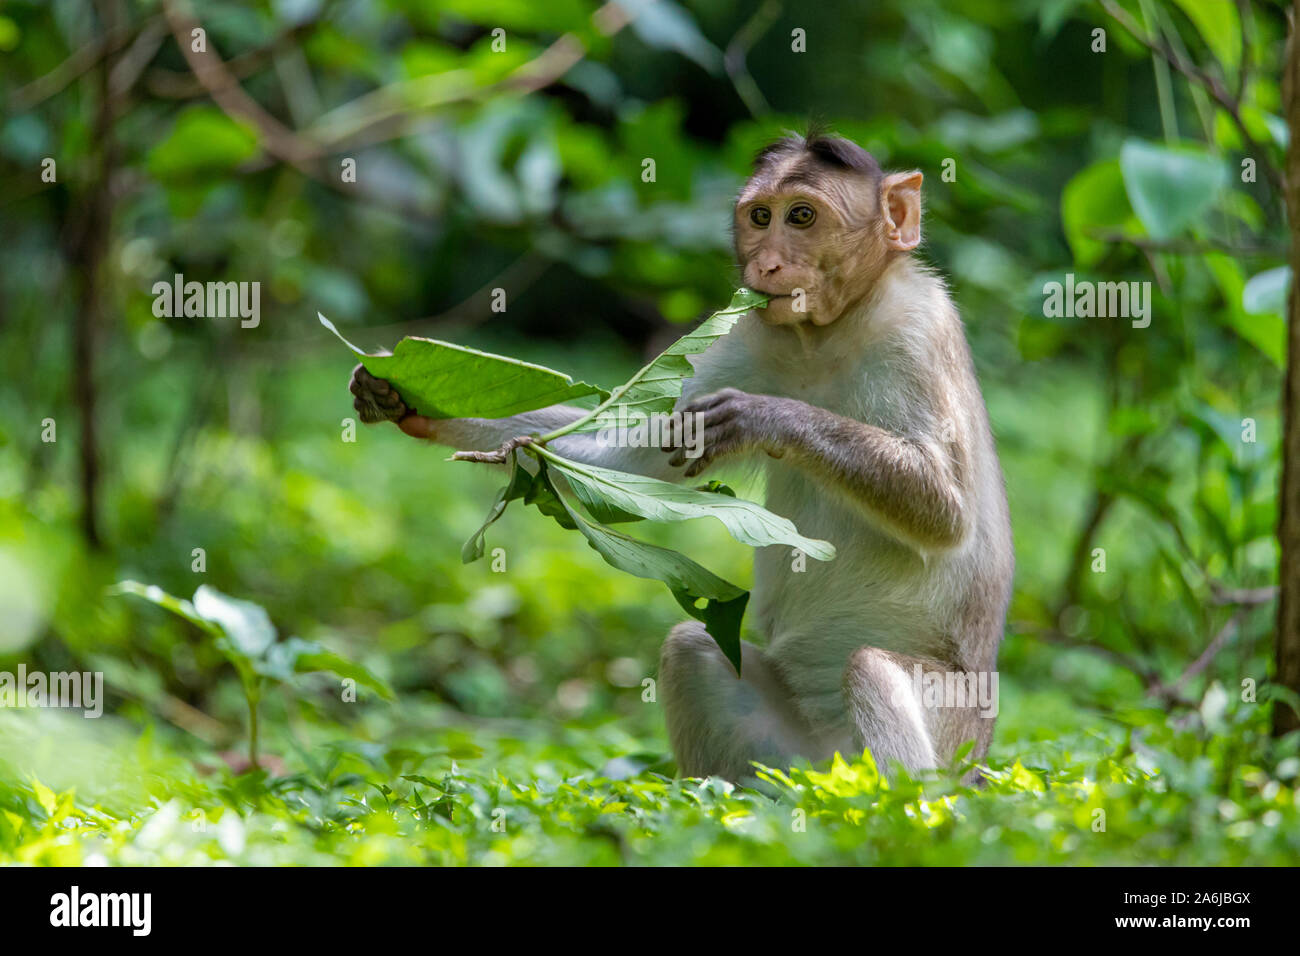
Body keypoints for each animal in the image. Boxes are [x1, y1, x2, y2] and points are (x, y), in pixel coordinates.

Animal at [349, 131, 1014, 783]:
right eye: (761, 216)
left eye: (802, 216)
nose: (765, 263)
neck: (827, 333)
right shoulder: (747, 331)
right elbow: (626, 458)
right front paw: (410, 399)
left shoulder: (917, 327)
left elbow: (945, 512)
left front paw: (765, 418)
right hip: (797, 761)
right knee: (693, 647)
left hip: (955, 735)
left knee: (871, 669)